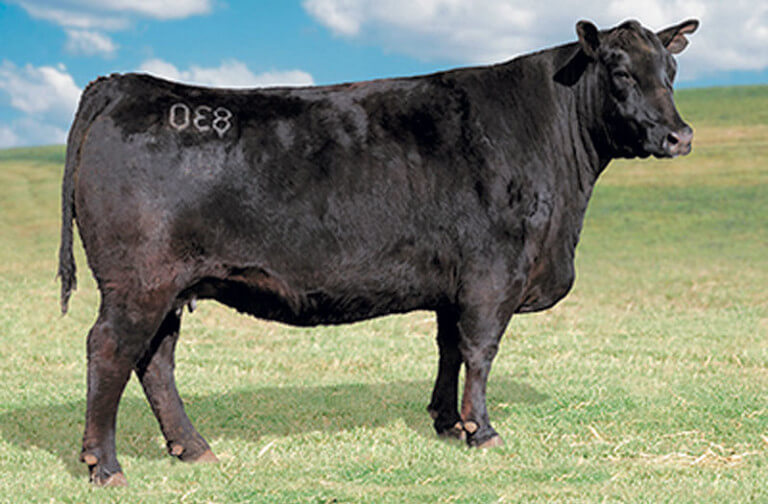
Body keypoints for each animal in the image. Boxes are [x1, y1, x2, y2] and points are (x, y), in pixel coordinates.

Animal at [58, 18, 698, 486]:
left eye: (670, 70)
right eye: (620, 72)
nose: (680, 135)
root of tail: (127, 82)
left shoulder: (455, 283)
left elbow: (449, 348)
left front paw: (447, 422)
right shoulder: (492, 275)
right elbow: (481, 350)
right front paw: (483, 431)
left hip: (171, 285)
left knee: (154, 360)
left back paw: (192, 448)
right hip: (139, 280)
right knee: (110, 349)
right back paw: (105, 467)